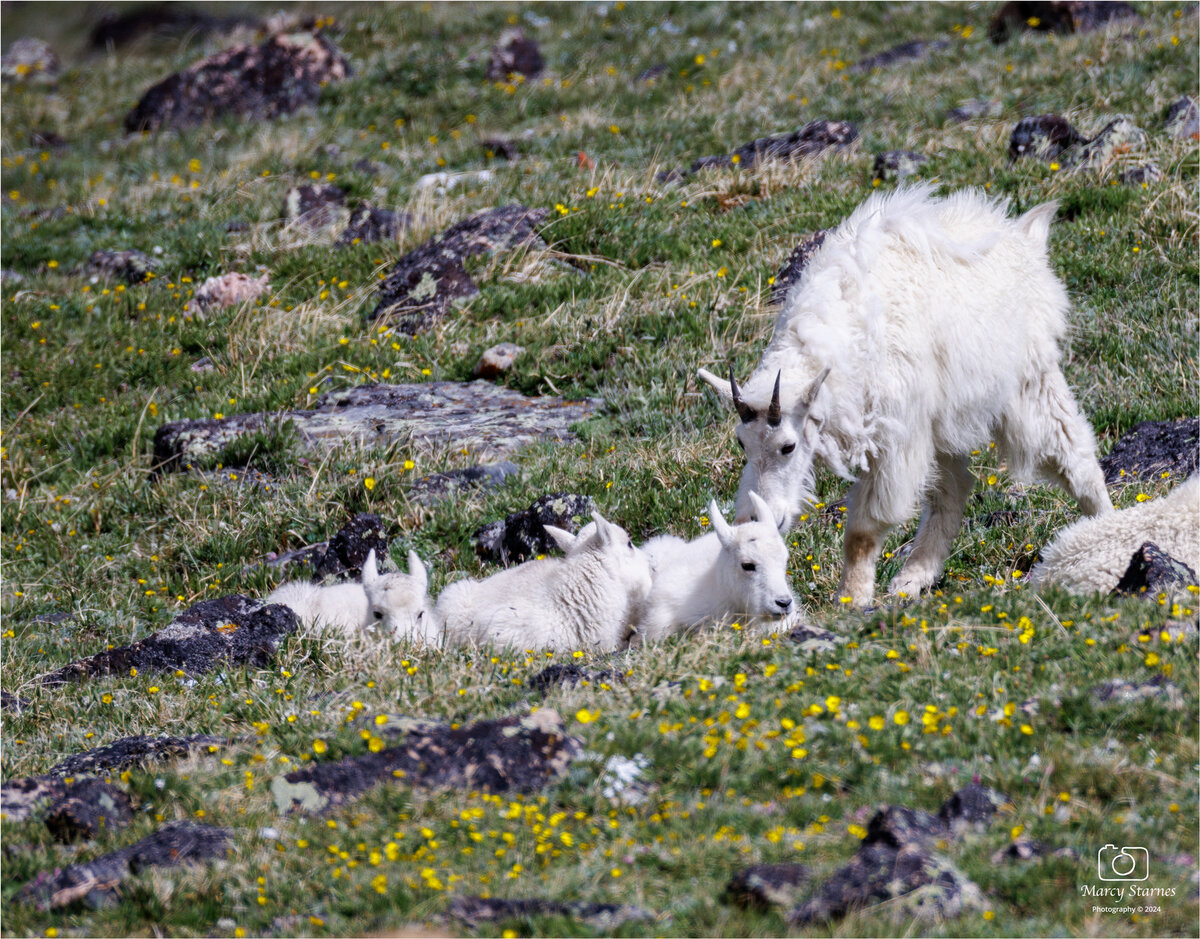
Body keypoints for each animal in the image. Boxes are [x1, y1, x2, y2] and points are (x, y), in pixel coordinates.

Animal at [699, 184, 1112, 607]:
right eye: (742, 443)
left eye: (788, 446)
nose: (757, 518)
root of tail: (1026, 242)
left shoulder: (896, 435)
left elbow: (864, 530)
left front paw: (851, 599)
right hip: (943, 419)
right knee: (954, 488)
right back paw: (911, 580)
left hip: (1029, 380)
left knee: (1071, 453)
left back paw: (1106, 530)